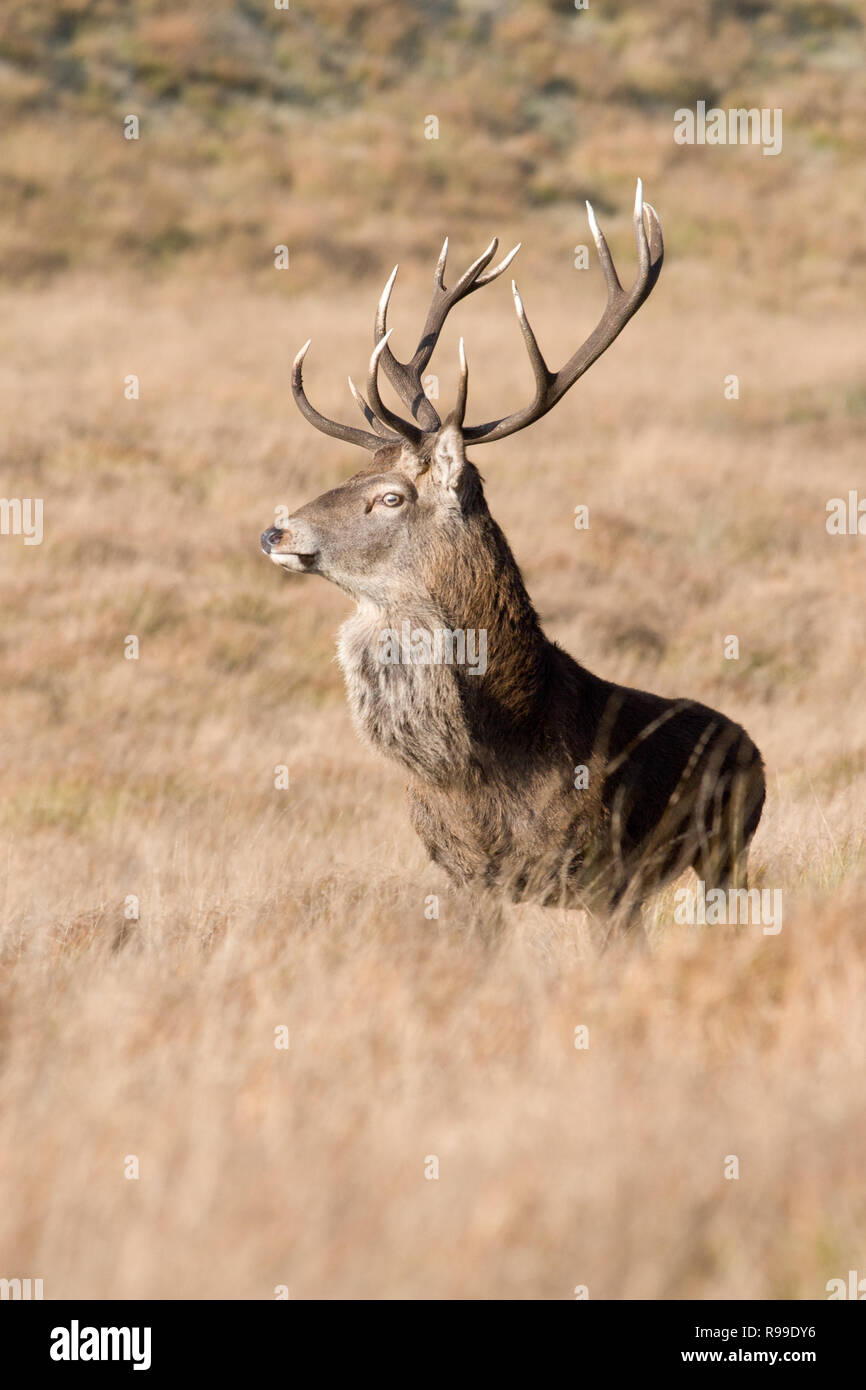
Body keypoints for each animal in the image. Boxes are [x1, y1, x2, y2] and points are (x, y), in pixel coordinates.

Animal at [260, 182, 765, 933]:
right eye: (352, 476)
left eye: (389, 498)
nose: (275, 533)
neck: (491, 760)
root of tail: (757, 749)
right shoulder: (464, 876)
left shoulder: (610, 878)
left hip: (729, 846)